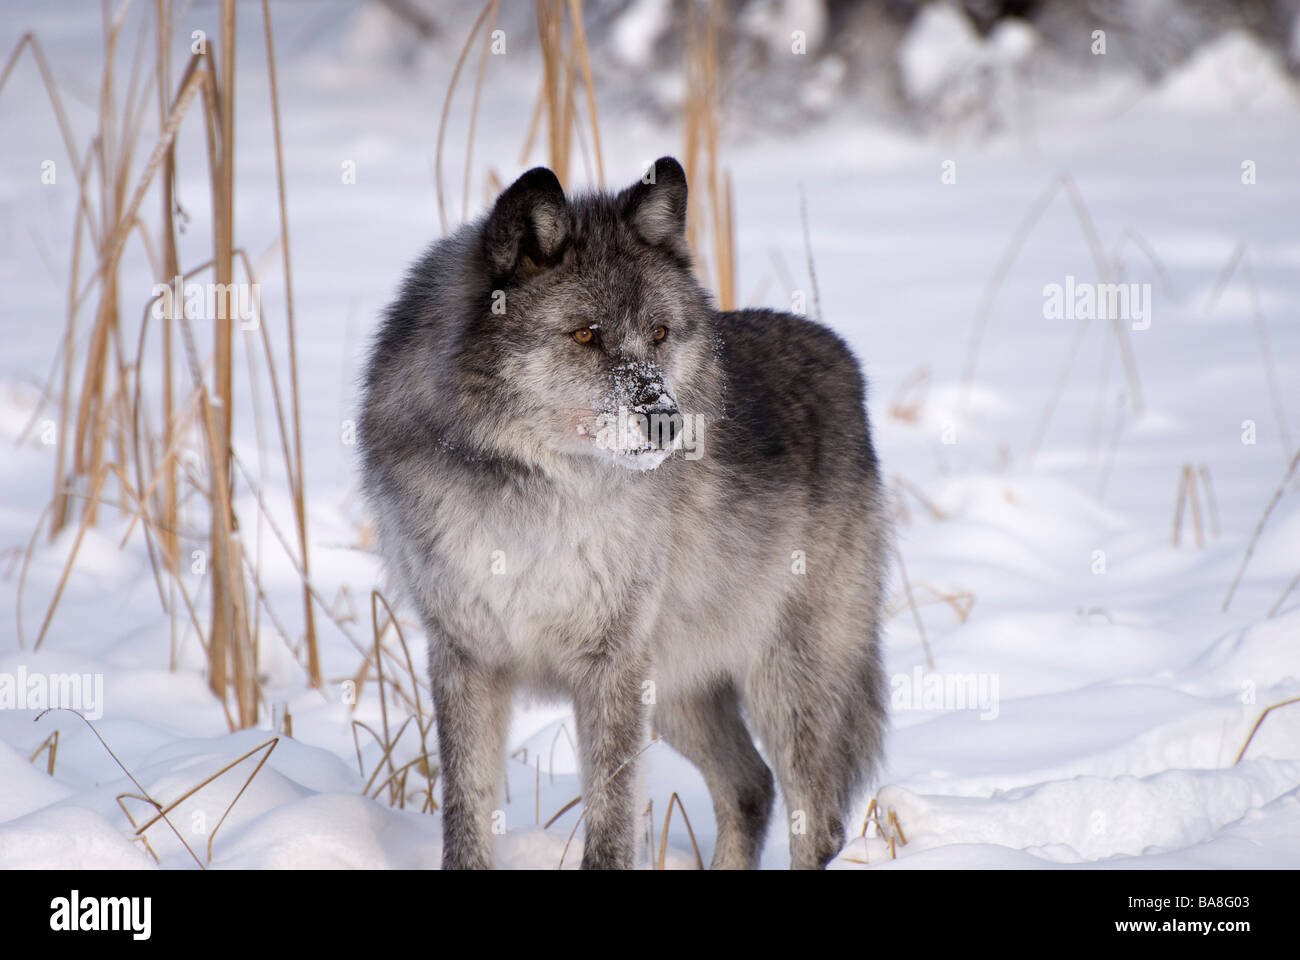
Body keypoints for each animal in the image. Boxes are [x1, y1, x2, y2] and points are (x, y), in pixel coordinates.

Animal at [358, 158, 889, 870]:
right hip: (678, 690)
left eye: (659, 334)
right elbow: (466, 819)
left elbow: (610, 827)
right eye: (587, 335)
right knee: (751, 786)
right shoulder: (466, 658)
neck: (535, 495)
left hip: (782, 679)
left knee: (818, 821)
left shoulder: (611, 668)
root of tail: (842, 357)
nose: (667, 420)